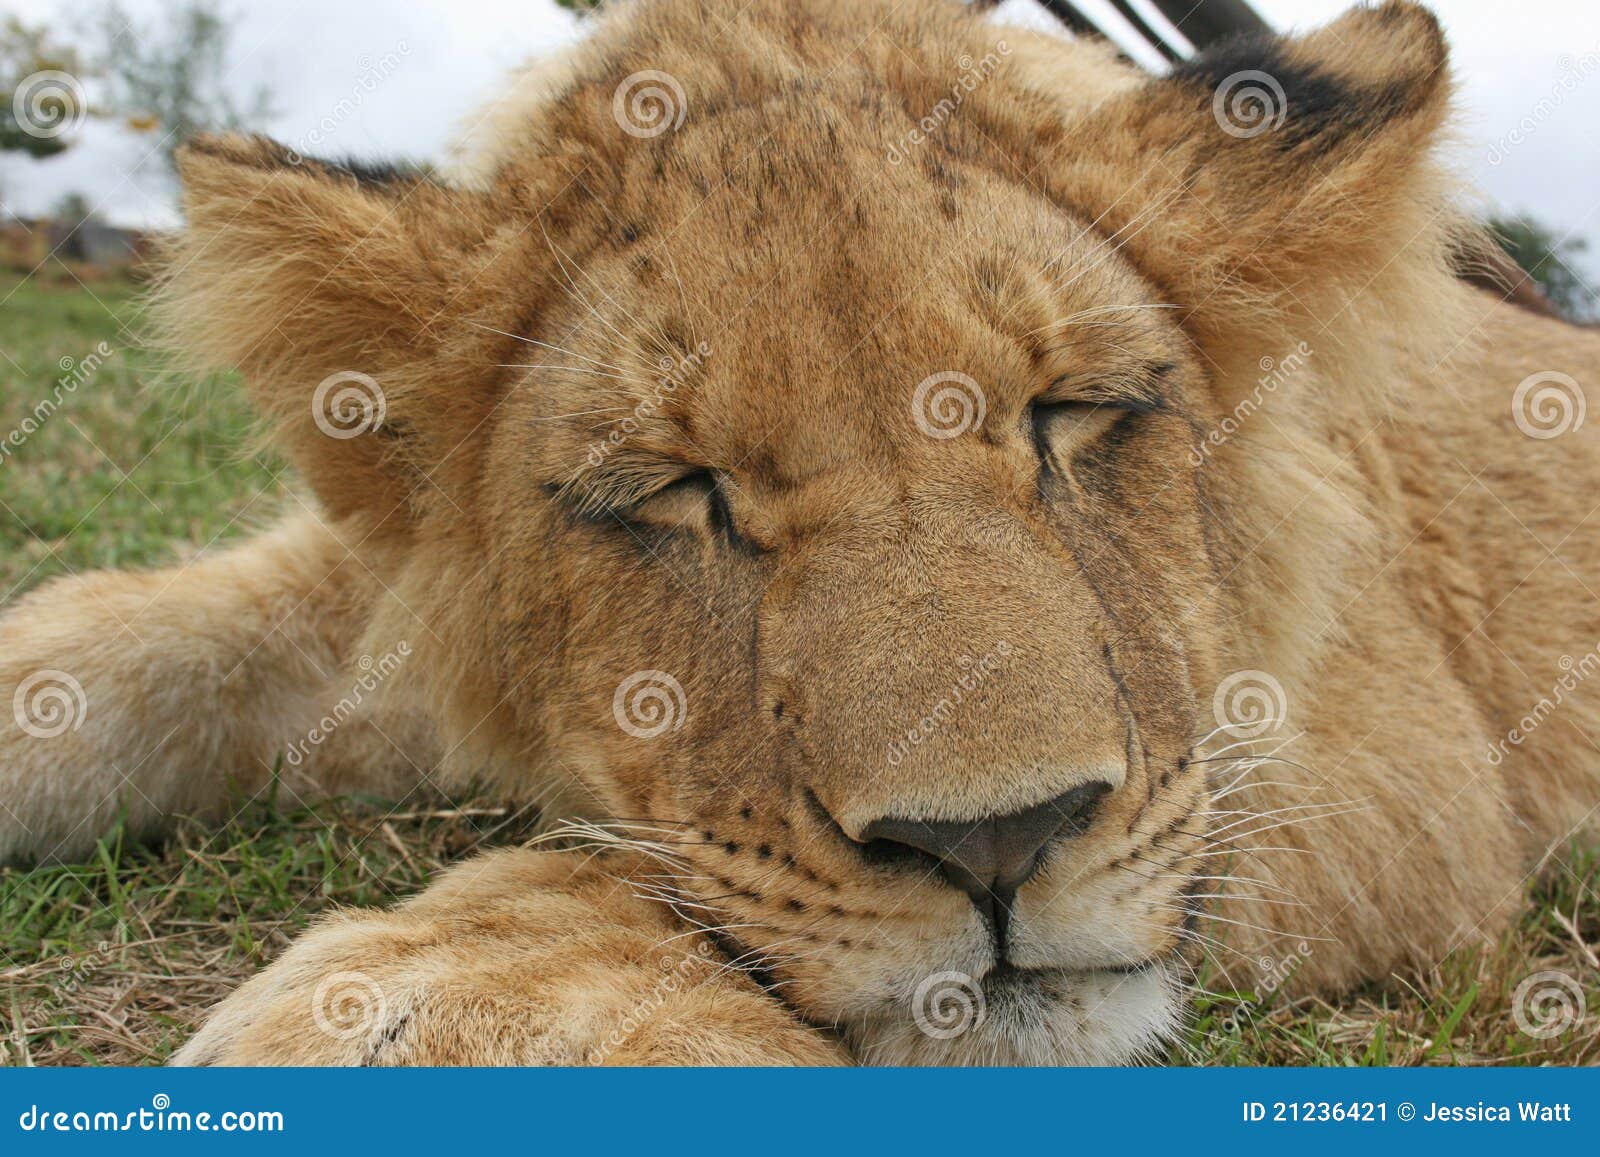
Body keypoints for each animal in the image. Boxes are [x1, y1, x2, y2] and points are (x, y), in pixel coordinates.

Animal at [2, 0, 1597, 1066]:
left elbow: (653, 871)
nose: (995, 843)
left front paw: (439, 995)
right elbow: (129, 639)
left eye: (1068, 412)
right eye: (678, 490)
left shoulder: (1409, 755)